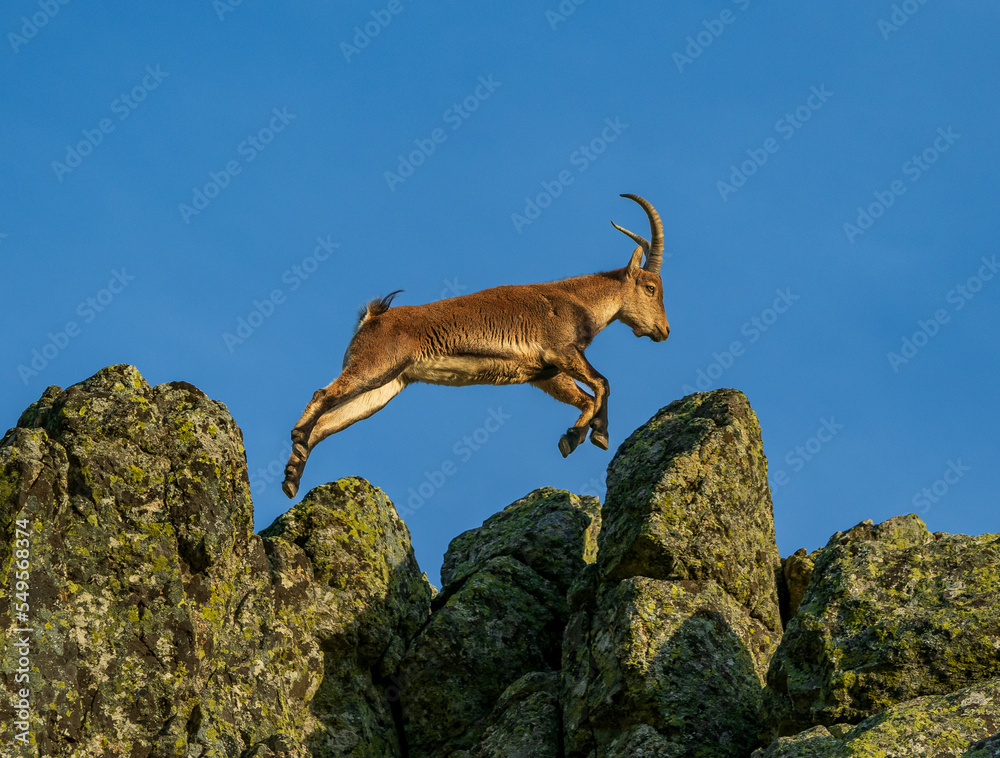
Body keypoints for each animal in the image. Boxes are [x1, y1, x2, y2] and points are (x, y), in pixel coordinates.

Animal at [281, 193, 669, 499]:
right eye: (651, 288)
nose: (664, 331)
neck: (577, 302)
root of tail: (372, 318)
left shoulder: (545, 374)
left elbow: (587, 396)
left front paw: (574, 438)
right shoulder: (562, 350)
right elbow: (603, 383)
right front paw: (593, 435)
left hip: (386, 386)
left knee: (327, 423)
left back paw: (291, 477)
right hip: (375, 364)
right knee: (322, 395)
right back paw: (297, 438)